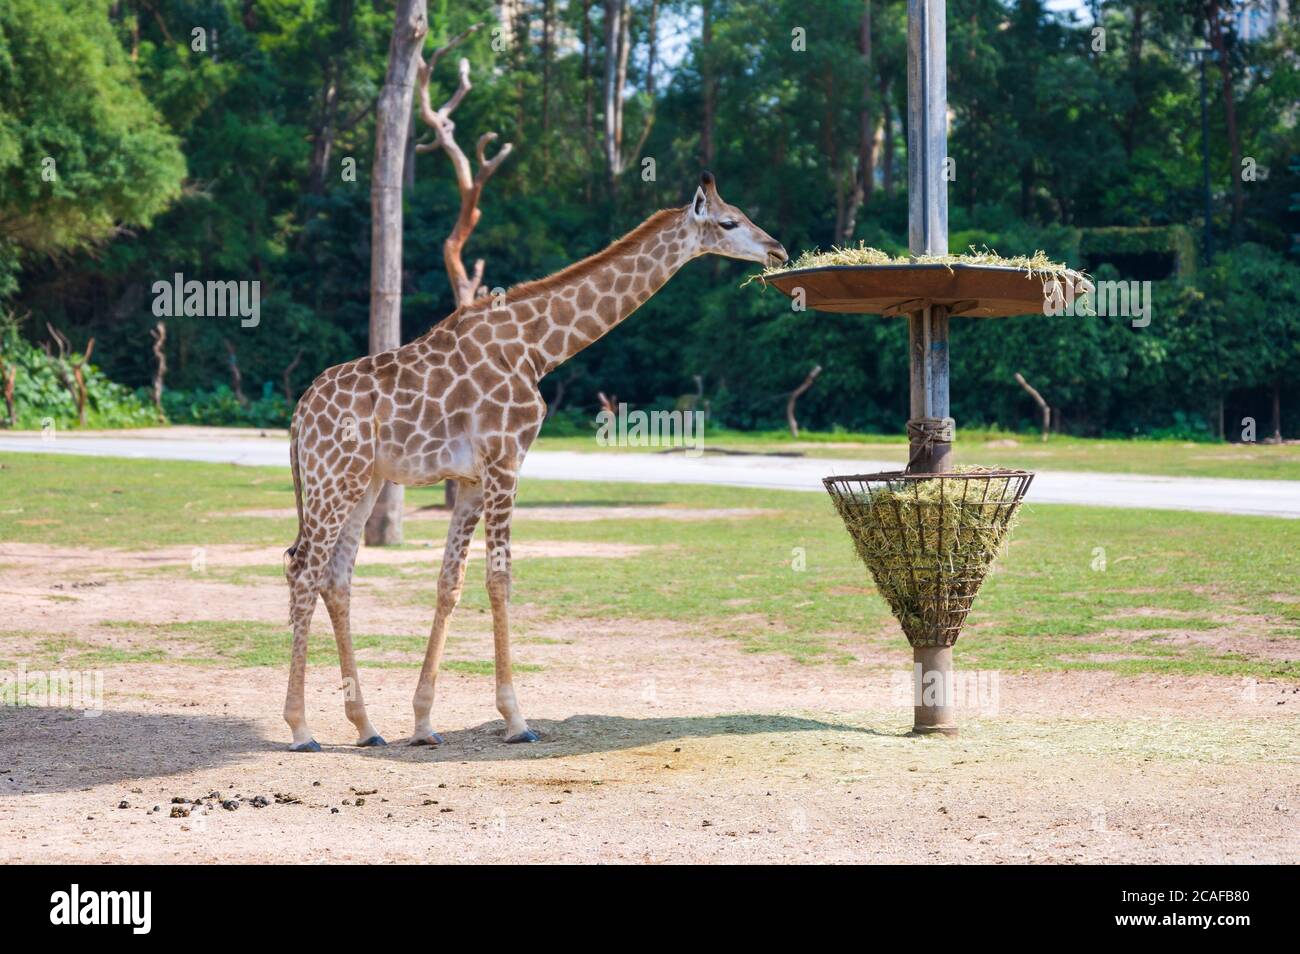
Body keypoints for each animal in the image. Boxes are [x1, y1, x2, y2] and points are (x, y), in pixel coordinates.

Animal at [282, 172, 786, 751]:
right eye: (729, 222)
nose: (777, 249)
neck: (538, 348)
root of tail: (298, 415)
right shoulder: (506, 460)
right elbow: (499, 579)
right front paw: (516, 720)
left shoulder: (470, 478)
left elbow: (450, 584)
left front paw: (424, 723)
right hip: (332, 477)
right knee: (302, 569)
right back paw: (300, 728)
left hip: (363, 482)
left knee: (335, 578)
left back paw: (367, 727)